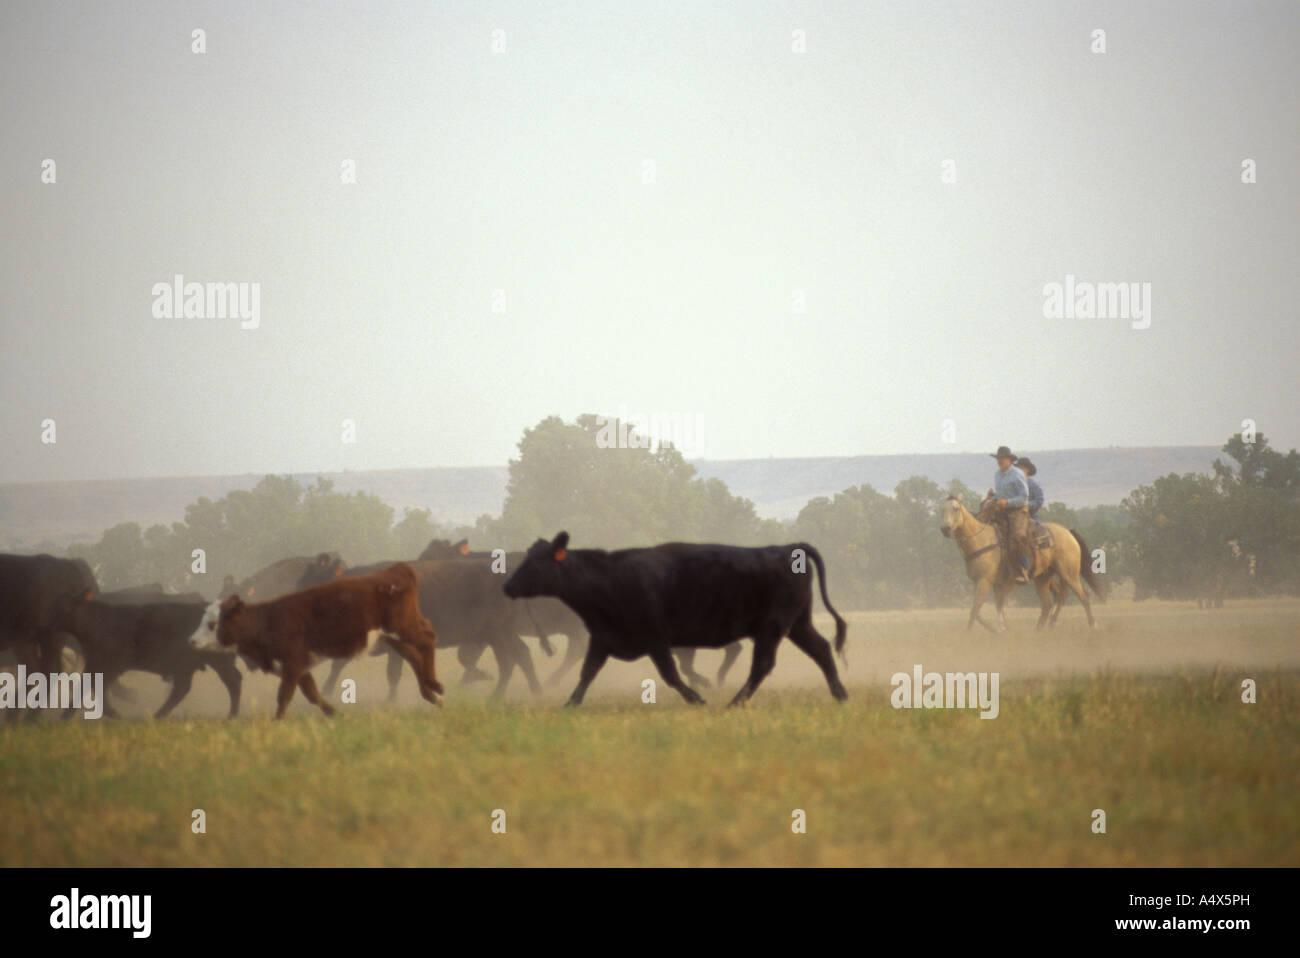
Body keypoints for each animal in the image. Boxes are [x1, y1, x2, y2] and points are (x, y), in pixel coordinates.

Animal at [47, 592, 242, 719]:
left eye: (62, 609)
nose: (46, 623)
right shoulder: (95, 664)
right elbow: (90, 687)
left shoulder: (111, 666)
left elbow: (92, 688)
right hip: (186, 667)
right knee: (182, 689)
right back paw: (159, 715)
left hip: (219, 662)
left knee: (233, 682)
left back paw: (231, 715)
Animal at [191, 562, 442, 718]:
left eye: (212, 624)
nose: (191, 641)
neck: (269, 620)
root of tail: (395, 570)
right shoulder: (298, 667)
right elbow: (313, 695)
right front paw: (336, 714)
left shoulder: (293, 663)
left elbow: (284, 696)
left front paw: (277, 721)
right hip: (391, 636)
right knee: (412, 655)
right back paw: (430, 694)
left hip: (404, 626)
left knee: (428, 638)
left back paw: (434, 684)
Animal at [503, 532, 849, 707]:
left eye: (536, 562)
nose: (507, 586)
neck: (609, 579)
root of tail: (787, 547)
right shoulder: (602, 638)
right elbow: (587, 673)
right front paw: (569, 705)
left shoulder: (656, 638)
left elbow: (670, 673)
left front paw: (697, 698)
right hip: (798, 624)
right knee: (821, 649)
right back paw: (840, 694)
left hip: (772, 627)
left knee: (763, 664)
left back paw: (735, 702)